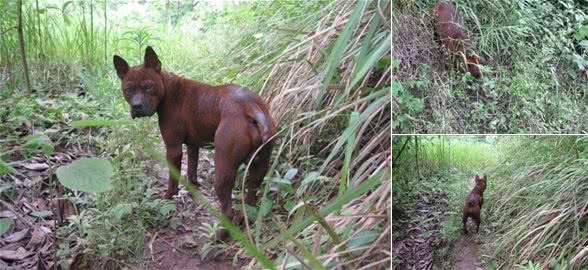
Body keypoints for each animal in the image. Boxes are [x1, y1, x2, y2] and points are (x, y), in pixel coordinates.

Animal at [113, 46, 276, 240]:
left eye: (148, 86)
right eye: (128, 89)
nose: (136, 106)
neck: (168, 89)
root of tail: (250, 107)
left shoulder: (173, 149)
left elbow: (172, 180)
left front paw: (168, 197)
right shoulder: (193, 145)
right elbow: (192, 170)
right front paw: (193, 188)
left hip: (223, 170)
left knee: (228, 210)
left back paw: (221, 235)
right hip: (259, 169)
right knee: (251, 197)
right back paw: (244, 220)